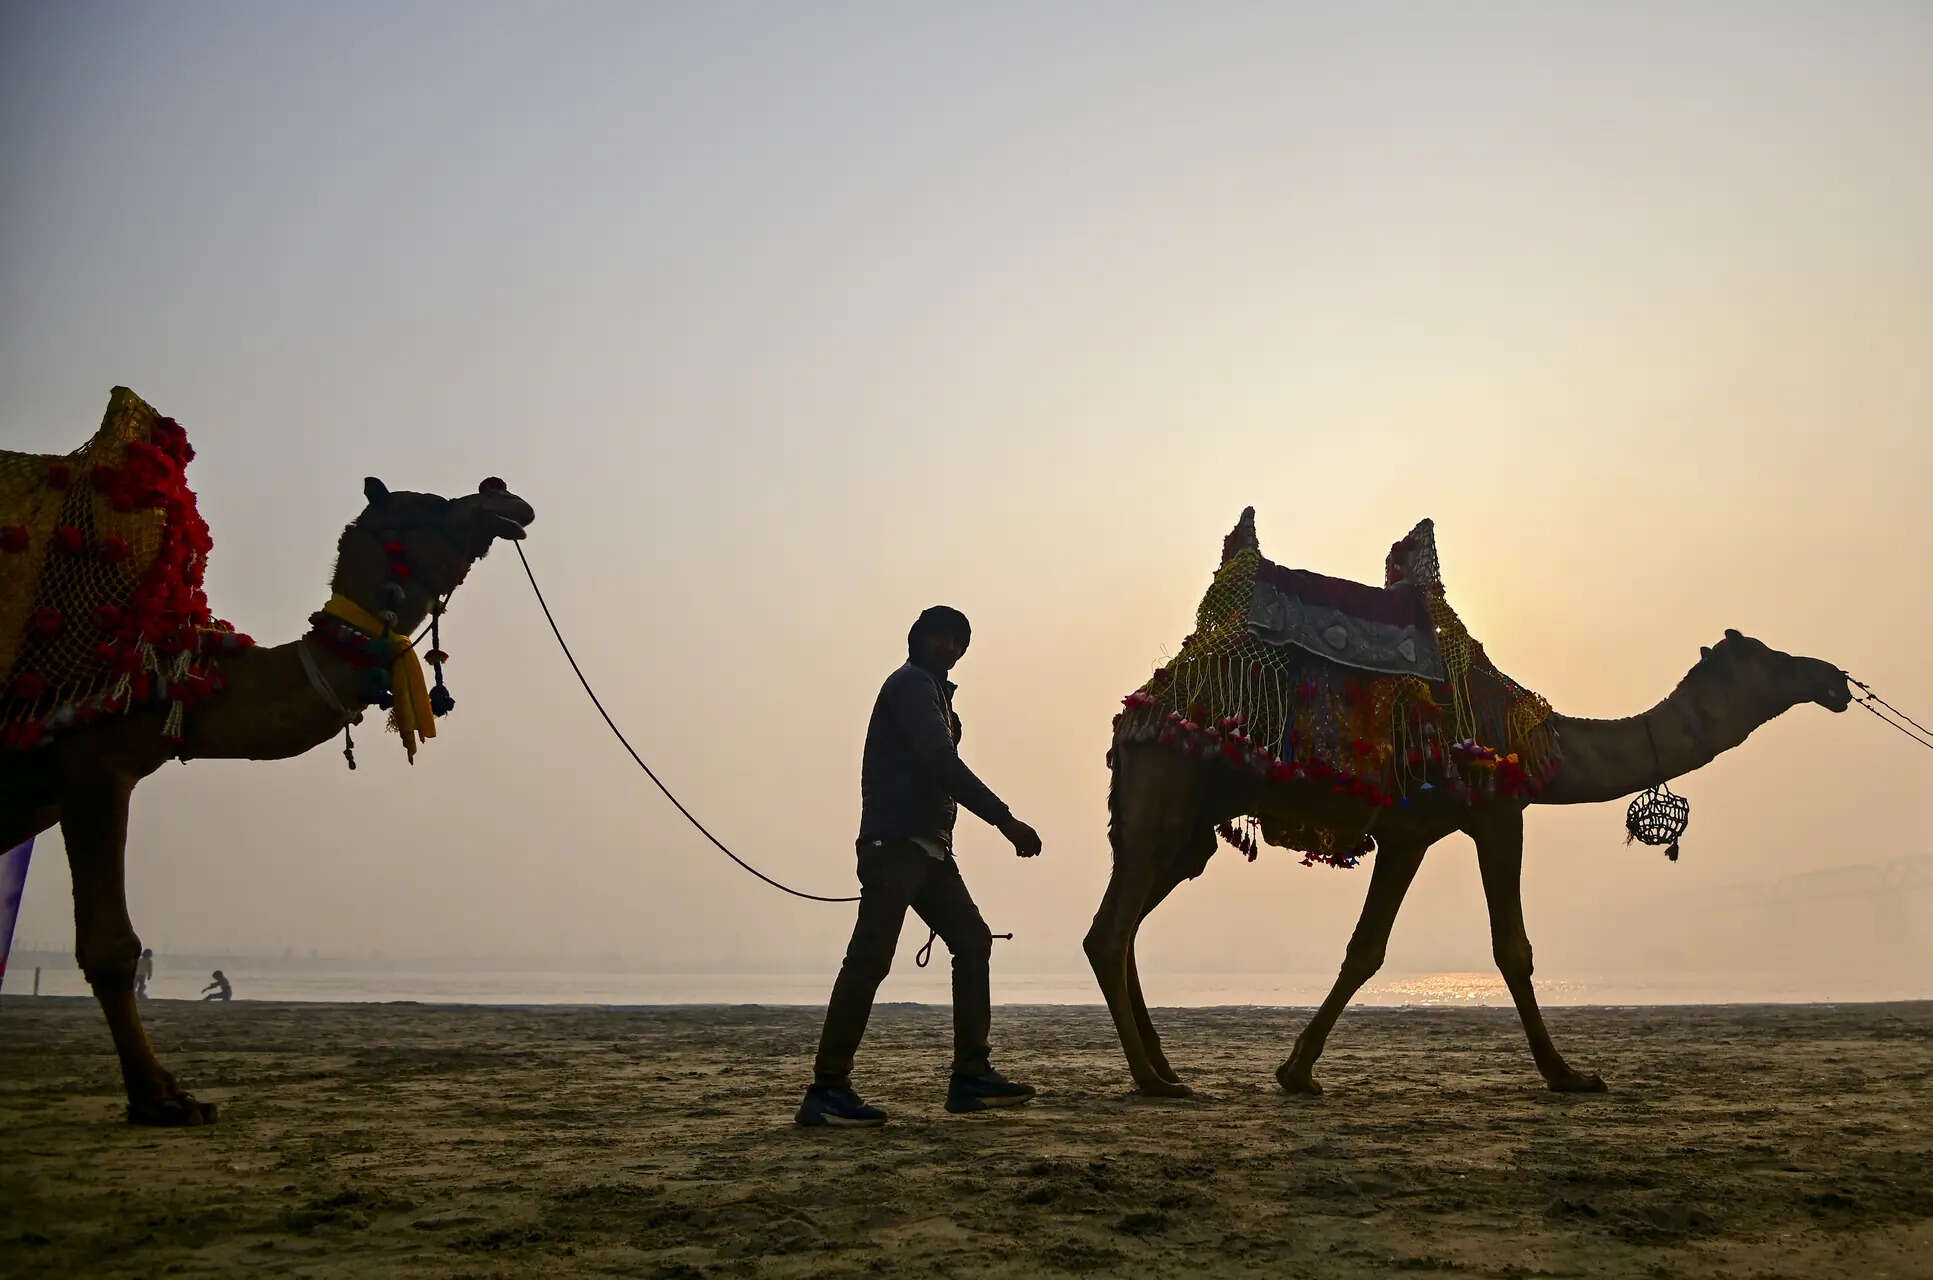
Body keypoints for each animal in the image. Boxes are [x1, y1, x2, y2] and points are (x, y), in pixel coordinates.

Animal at [1086, 510, 1850, 1098]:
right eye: (1766, 655)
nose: (1833, 678)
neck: (1547, 743)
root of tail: (1137, 705)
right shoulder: (1497, 810)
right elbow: (1512, 948)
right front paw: (1568, 1075)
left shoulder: (1411, 830)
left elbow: (1365, 949)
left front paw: (1296, 1072)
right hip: (1169, 781)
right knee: (1109, 932)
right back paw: (1153, 1081)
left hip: (1185, 816)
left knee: (1132, 919)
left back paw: (1164, 1069)